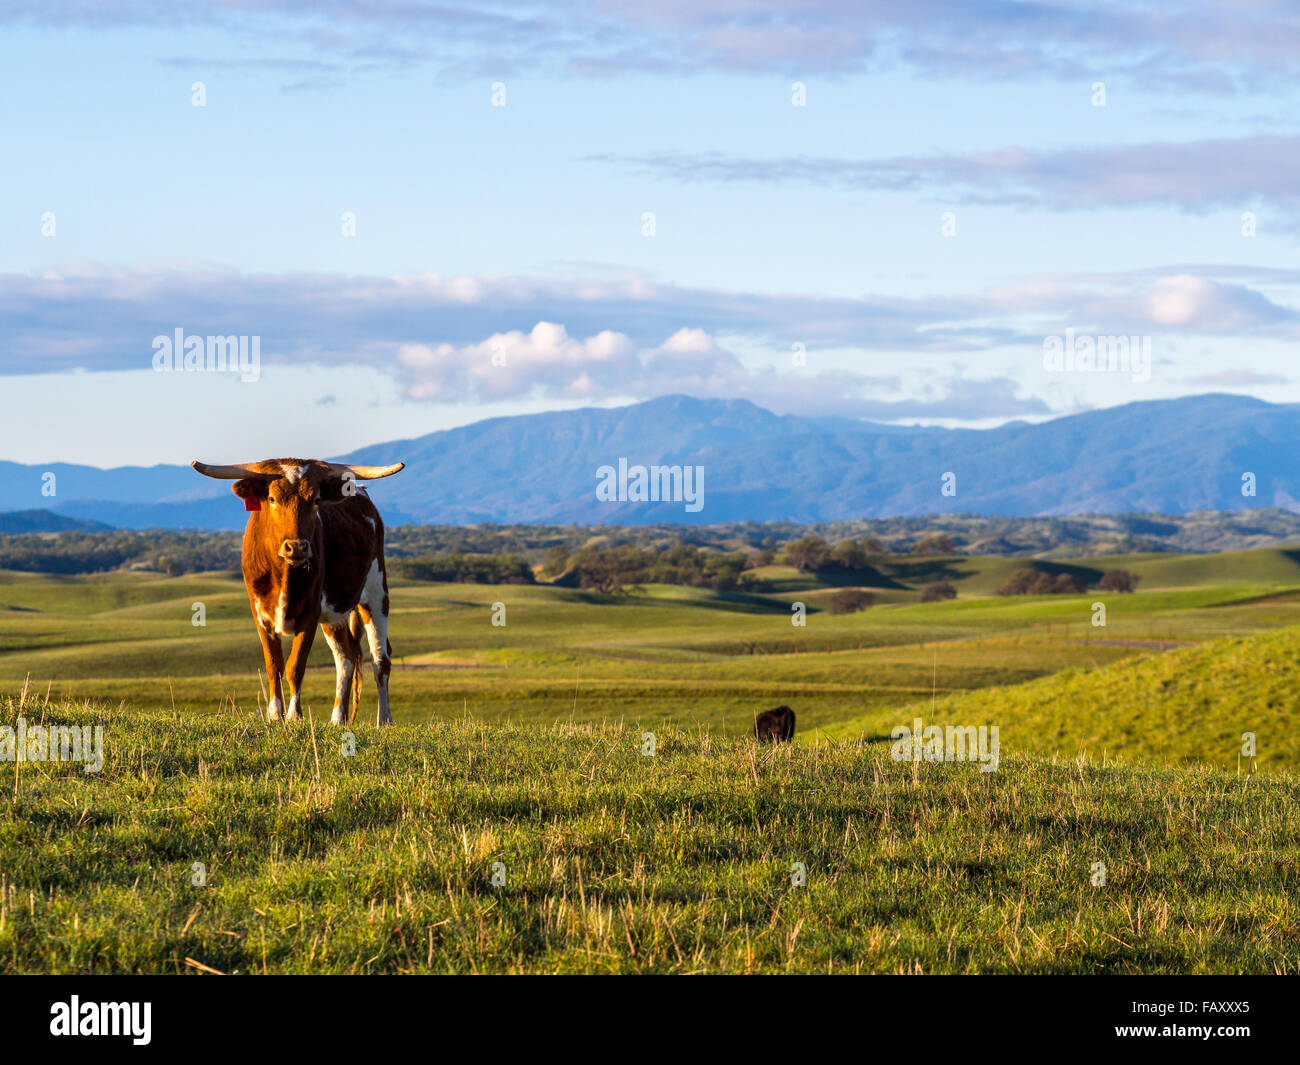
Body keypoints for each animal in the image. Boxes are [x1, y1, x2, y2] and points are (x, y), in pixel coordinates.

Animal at [191, 458, 405, 726]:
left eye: (316, 499)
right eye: (272, 498)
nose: (297, 547)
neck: (284, 576)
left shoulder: (310, 613)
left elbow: (295, 665)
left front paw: (294, 715)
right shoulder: (260, 614)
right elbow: (274, 665)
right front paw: (274, 714)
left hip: (377, 591)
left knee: (380, 658)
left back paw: (384, 719)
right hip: (335, 613)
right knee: (345, 658)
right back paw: (338, 718)